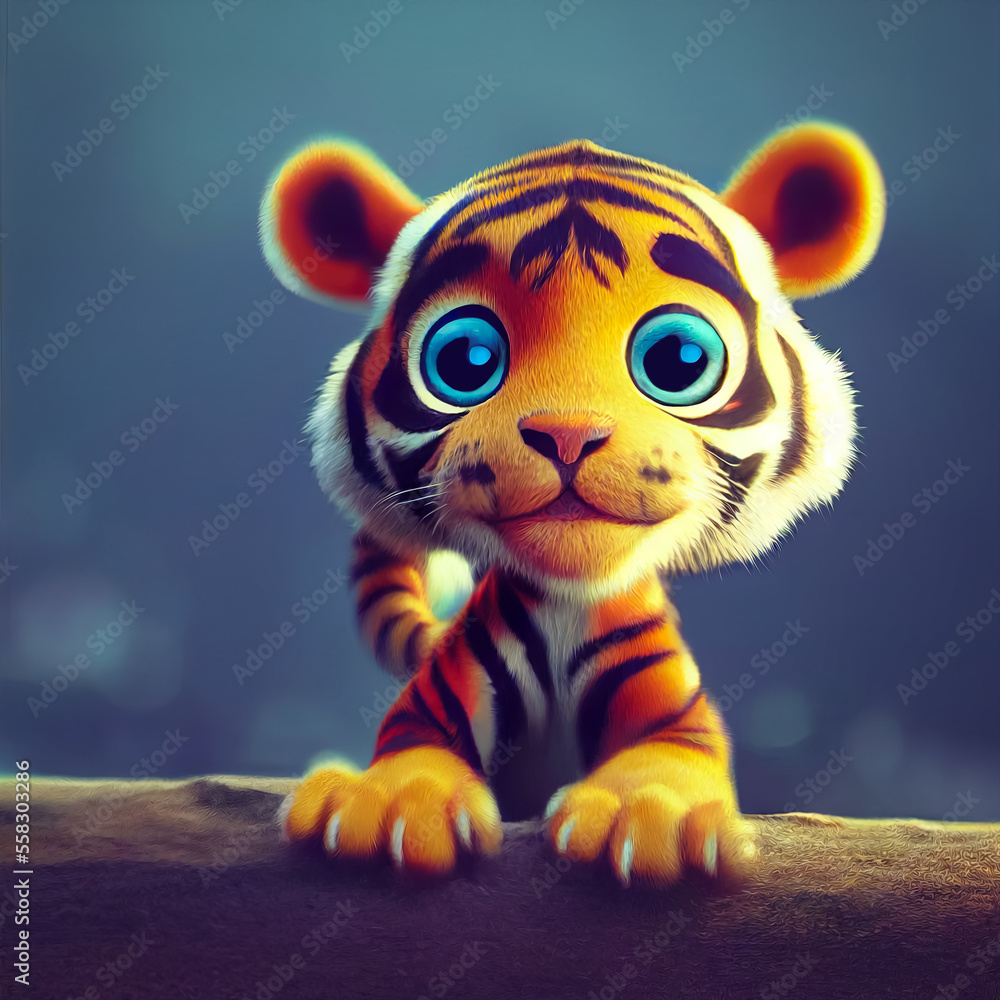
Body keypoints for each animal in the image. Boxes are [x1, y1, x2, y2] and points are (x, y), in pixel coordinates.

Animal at [259, 122, 884, 887]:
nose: (567, 433)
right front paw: (393, 805)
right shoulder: (433, 704)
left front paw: (651, 818)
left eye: (679, 358)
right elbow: (413, 748)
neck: (564, 600)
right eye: (464, 359)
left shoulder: (673, 713)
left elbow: (667, 759)